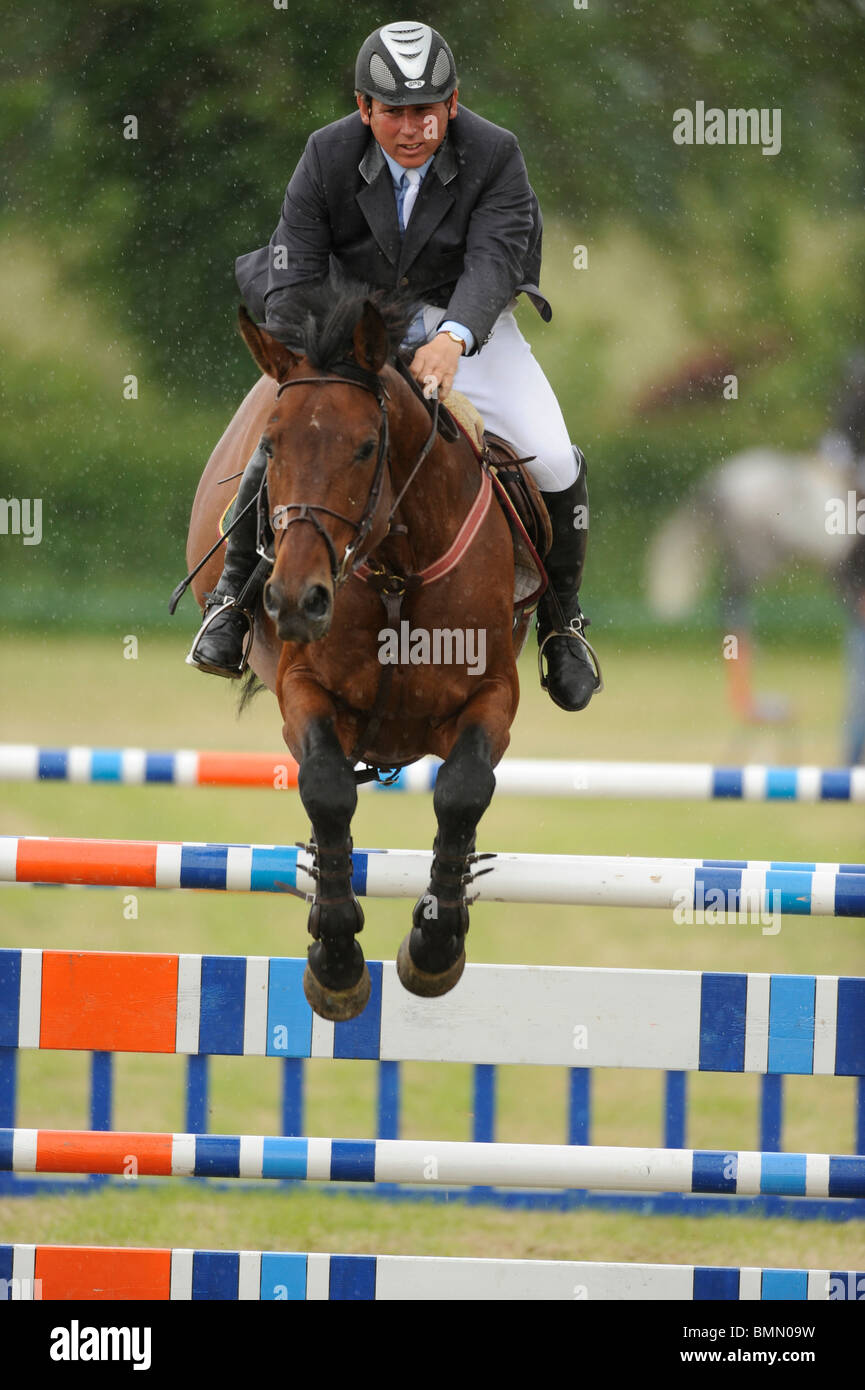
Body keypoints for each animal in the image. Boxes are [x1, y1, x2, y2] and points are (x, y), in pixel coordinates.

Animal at [185, 280, 526, 1022]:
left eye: (368, 447)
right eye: (272, 447)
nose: (295, 599)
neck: (396, 567)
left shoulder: (493, 696)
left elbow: (462, 791)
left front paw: (434, 943)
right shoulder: (304, 691)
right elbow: (328, 790)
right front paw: (336, 958)